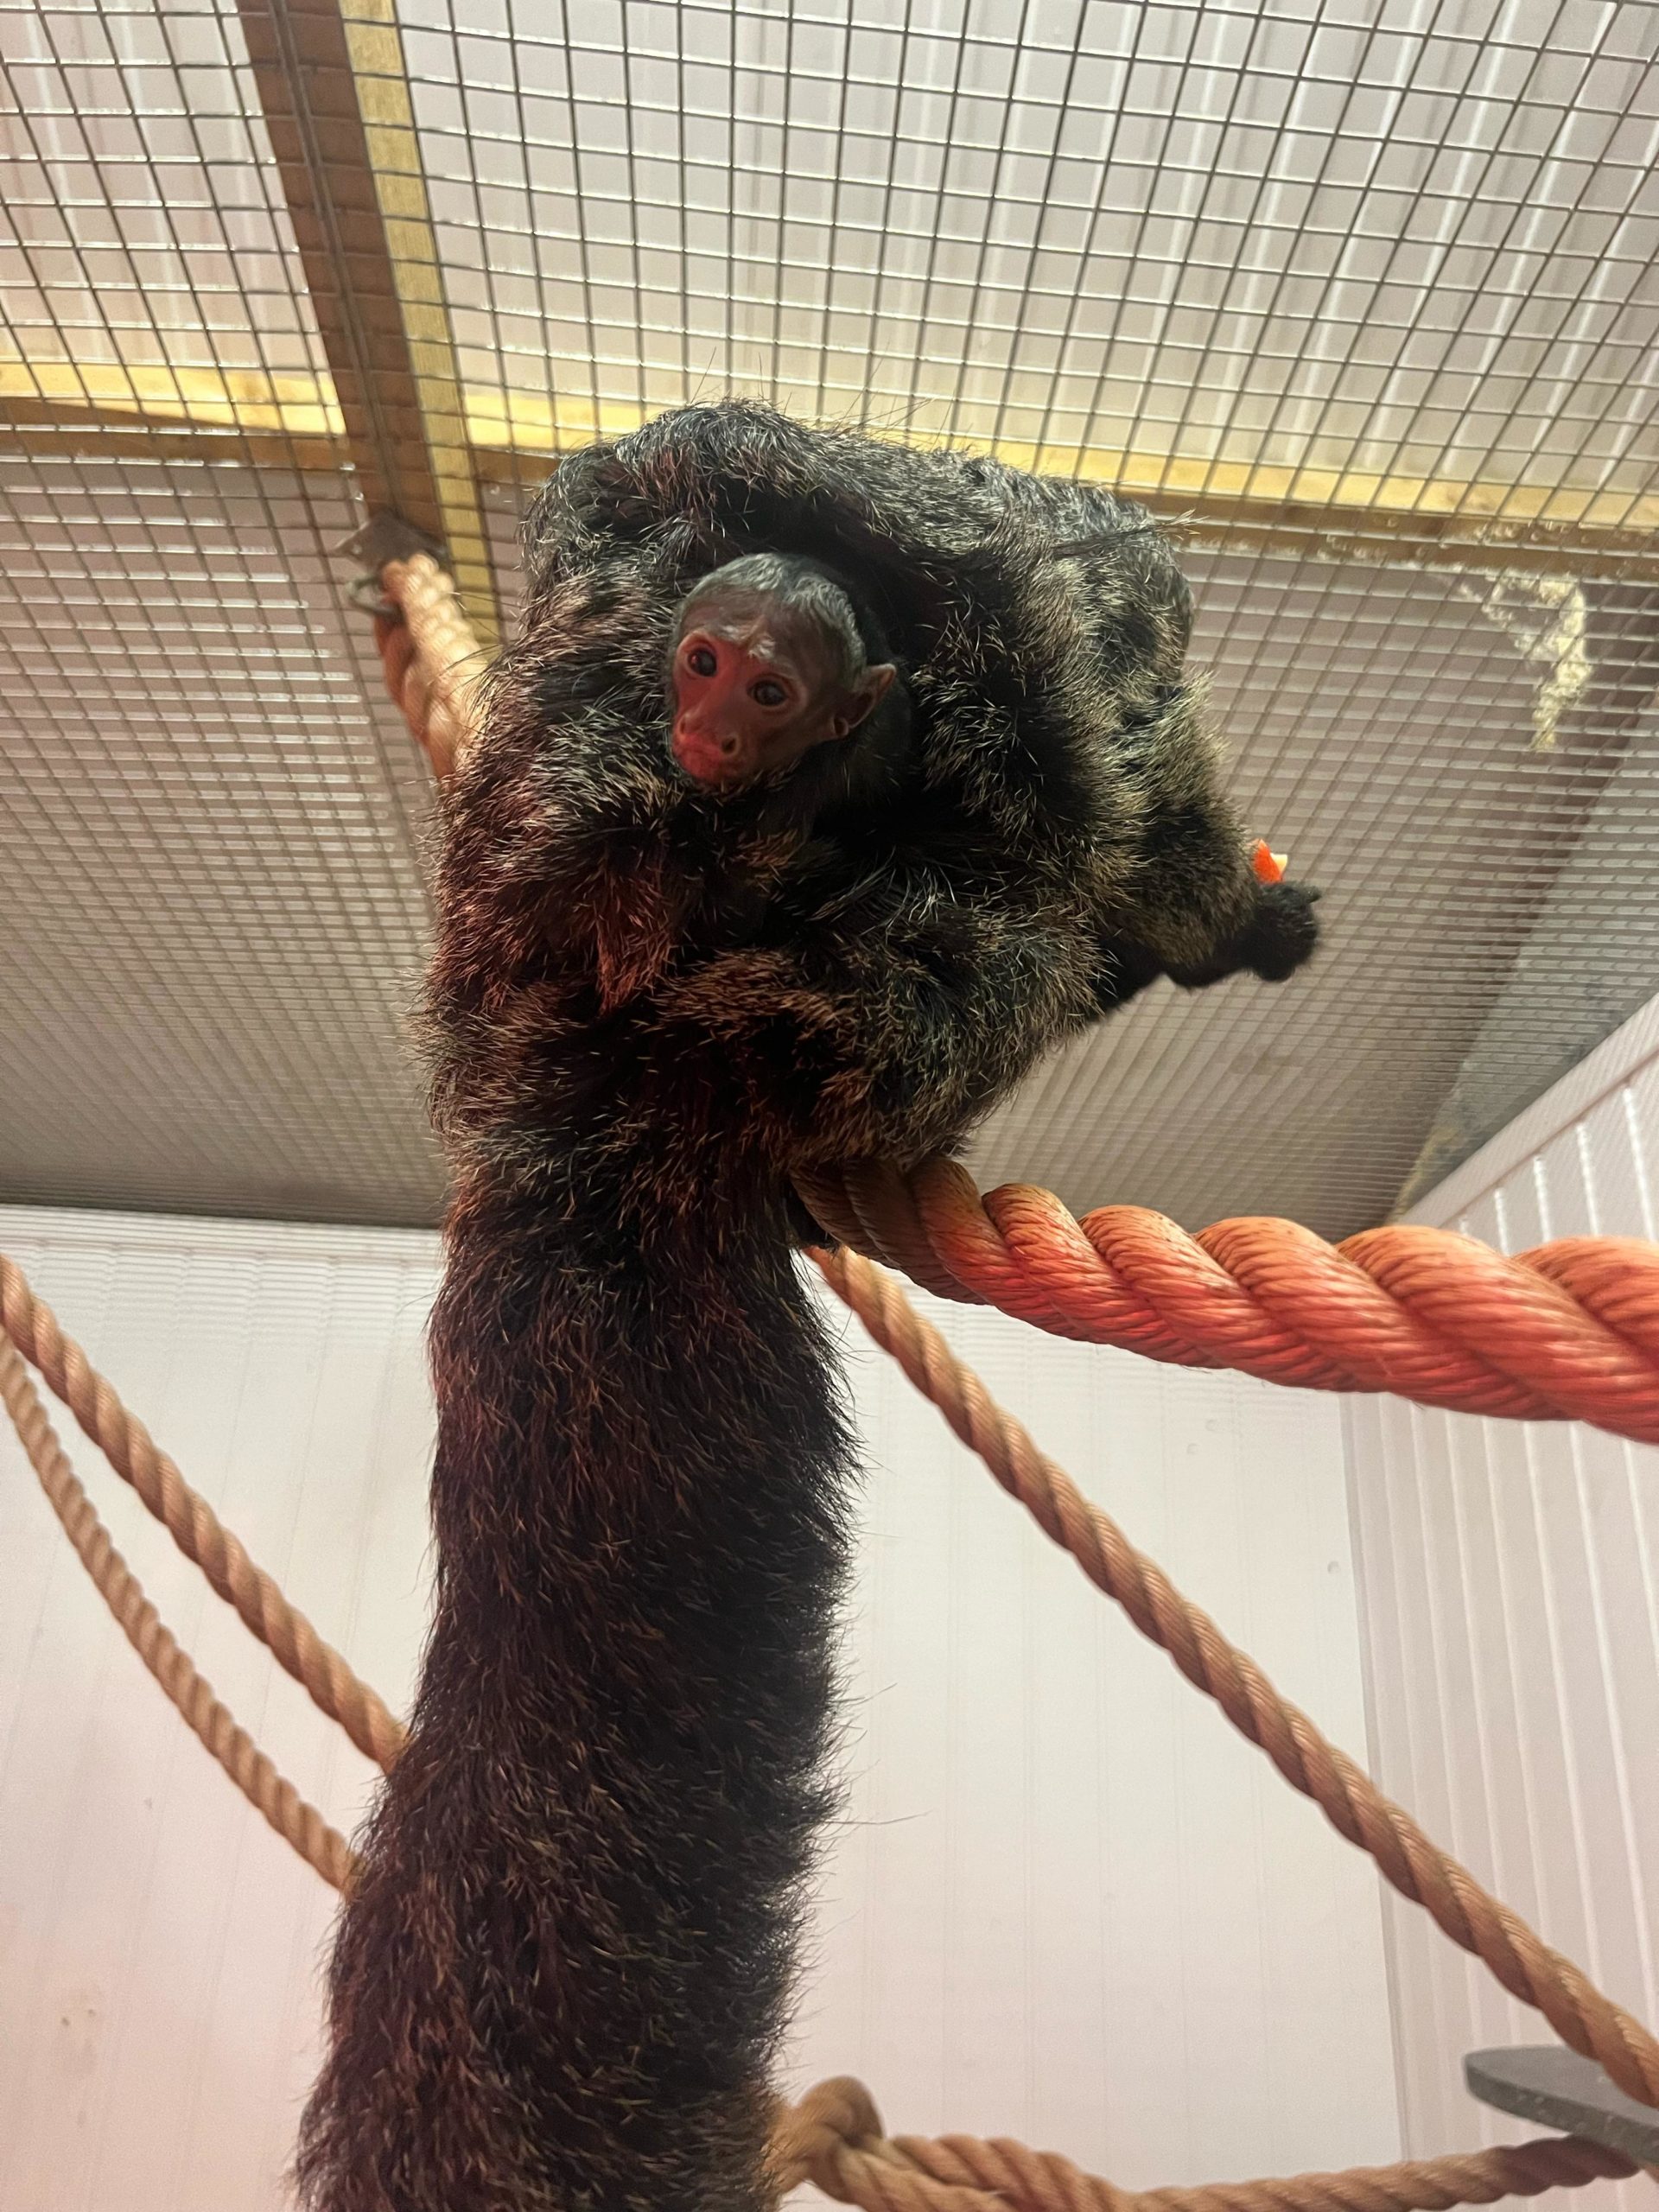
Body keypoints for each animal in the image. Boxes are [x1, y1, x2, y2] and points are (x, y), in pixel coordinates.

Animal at [296, 401, 1320, 2212]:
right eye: (709, 666)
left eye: (761, 683)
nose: (711, 720)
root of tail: (599, 1097)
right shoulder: (1078, 702)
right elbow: (1161, 811)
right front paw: (1240, 925)